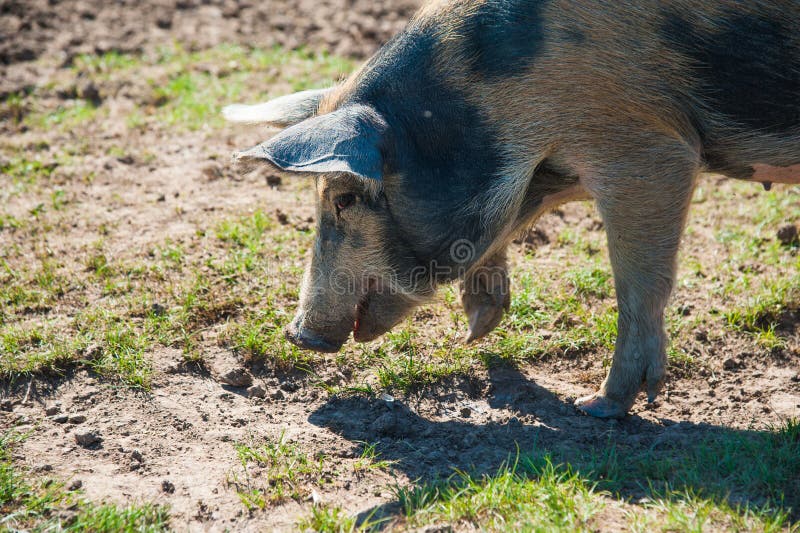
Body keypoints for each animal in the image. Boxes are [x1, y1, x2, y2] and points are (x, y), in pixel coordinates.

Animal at [224, 0, 800, 418]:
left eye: (343, 199)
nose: (297, 334)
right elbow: (498, 233)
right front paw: (476, 333)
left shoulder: (650, 152)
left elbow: (638, 283)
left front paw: (596, 407)